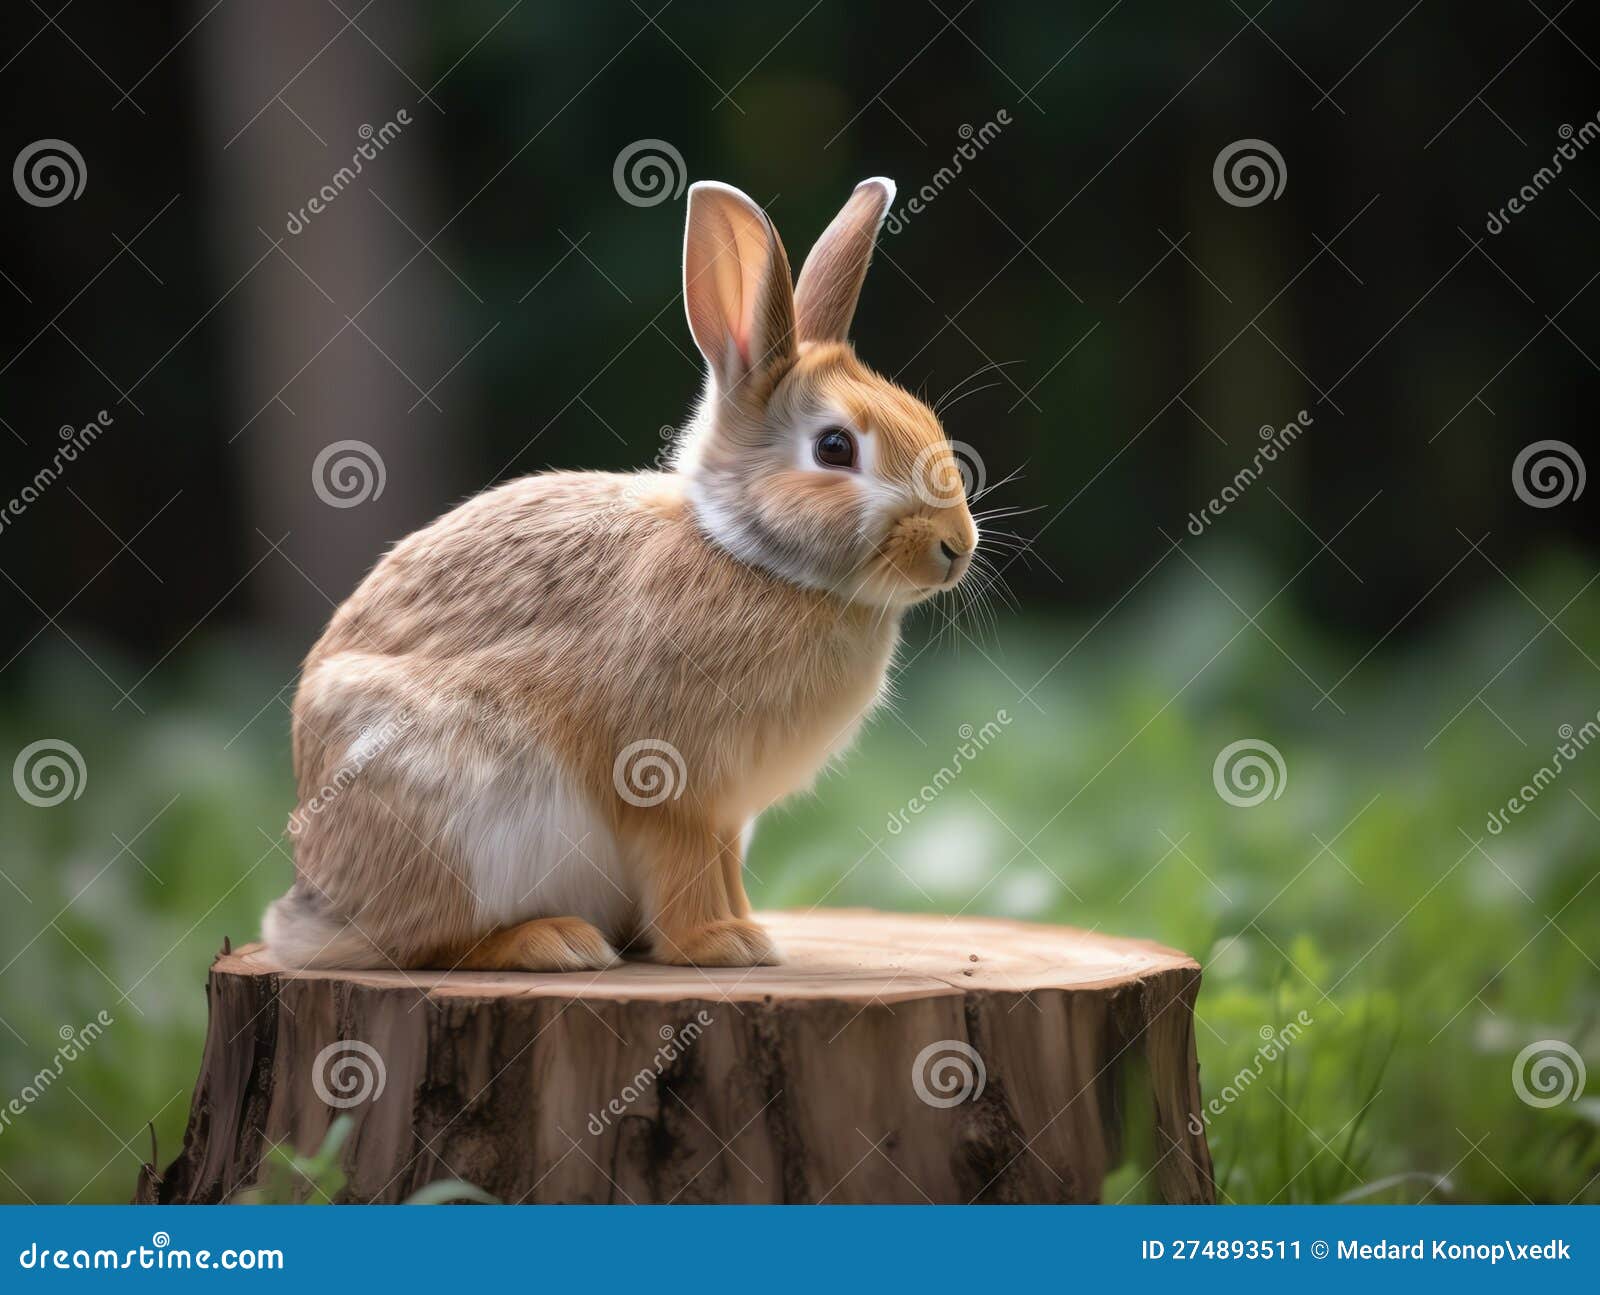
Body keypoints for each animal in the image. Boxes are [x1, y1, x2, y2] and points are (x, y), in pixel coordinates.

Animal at [263, 177, 980, 972]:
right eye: (834, 448)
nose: (956, 546)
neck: (753, 558)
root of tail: (312, 908)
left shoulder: (727, 815)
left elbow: (721, 867)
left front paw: (746, 931)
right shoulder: (666, 787)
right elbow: (683, 864)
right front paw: (719, 945)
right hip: (459, 815)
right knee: (432, 943)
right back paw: (554, 942)